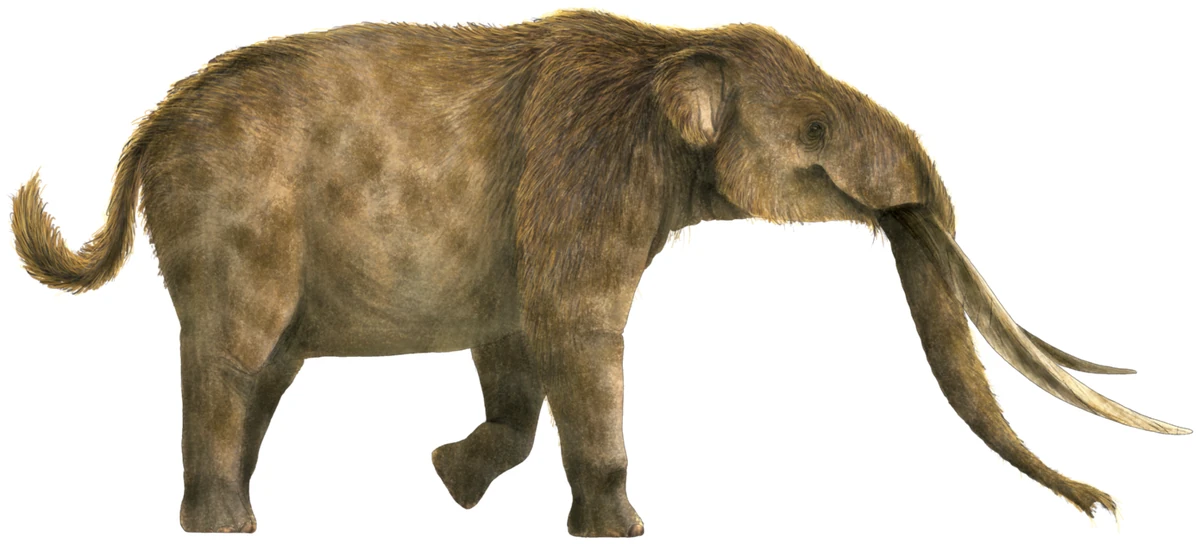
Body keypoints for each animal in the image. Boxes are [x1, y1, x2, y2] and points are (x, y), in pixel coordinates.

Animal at [10, 9, 1190, 537]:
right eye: (815, 130)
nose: (1103, 506)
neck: (675, 43)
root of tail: (148, 129)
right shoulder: (583, 182)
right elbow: (575, 334)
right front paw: (620, 532)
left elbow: (517, 349)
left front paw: (453, 481)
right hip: (235, 217)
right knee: (232, 355)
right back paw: (225, 525)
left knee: (266, 368)